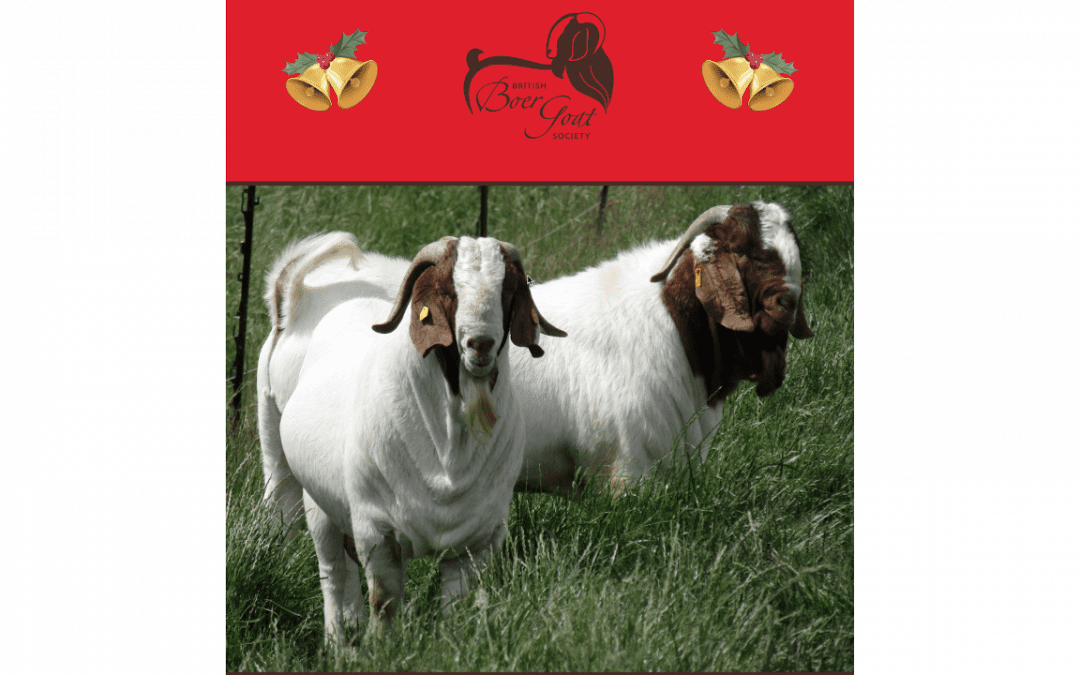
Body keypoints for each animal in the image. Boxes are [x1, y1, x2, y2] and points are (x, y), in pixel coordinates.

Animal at [263, 235, 565, 638]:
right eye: (448, 291)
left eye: (508, 290)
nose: (480, 344)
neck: (449, 452)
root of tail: (295, 301)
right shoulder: (376, 528)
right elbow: (385, 601)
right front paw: (382, 645)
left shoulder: (478, 540)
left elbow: (457, 608)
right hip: (300, 484)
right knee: (331, 571)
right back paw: (337, 638)